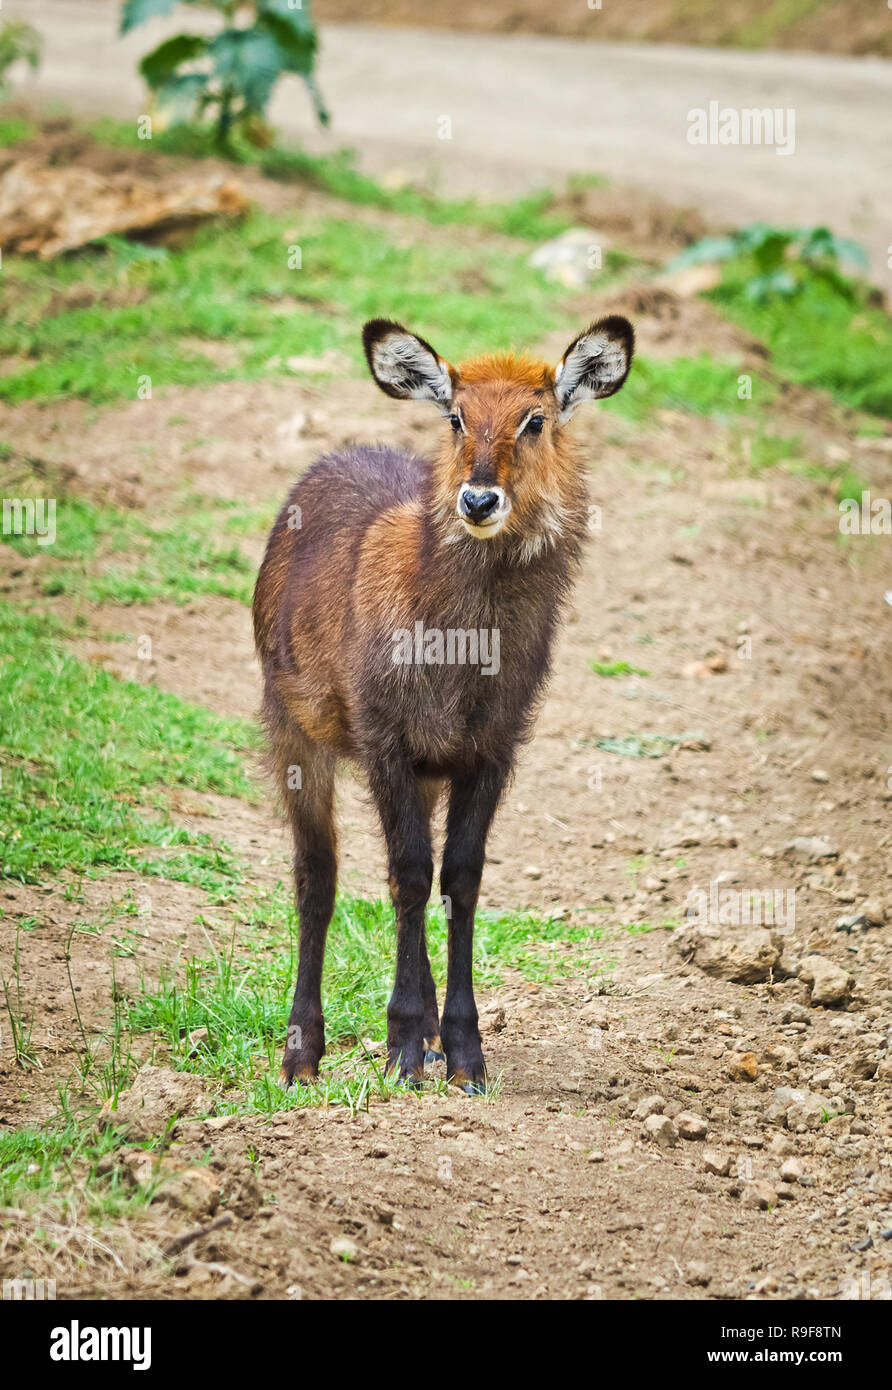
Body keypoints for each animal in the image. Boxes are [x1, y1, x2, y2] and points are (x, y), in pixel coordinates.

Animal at [253, 315, 634, 1093]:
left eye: (535, 420)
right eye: (456, 416)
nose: (479, 500)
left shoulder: (490, 749)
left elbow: (459, 877)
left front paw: (461, 1049)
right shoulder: (386, 743)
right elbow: (405, 877)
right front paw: (401, 1045)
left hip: (428, 769)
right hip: (294, 729)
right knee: (317, 875)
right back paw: (302, 1053)